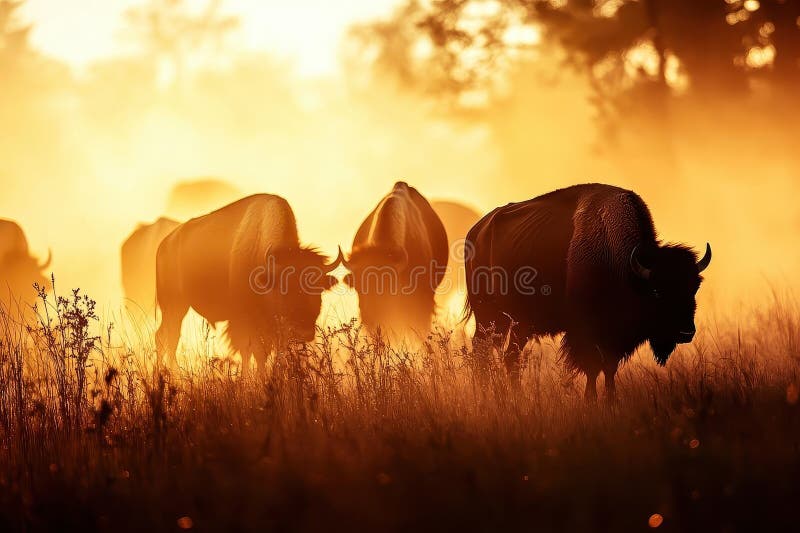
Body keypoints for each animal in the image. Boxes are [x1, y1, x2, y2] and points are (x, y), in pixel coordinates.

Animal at [155, 194, 338, 372]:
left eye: (319, 289)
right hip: (174, 307)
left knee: (164, 337)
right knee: (169, 339)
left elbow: (273, 352)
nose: (304, 332)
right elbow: (254, 352)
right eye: (285, 288)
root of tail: (164, 245)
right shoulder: (247, 320)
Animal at [464, 183, 711, 402]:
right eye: (657, 291)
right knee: (482, 352)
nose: (686, 332)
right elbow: (592, 367)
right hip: (488, 317)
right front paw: (590, 400)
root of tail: (476, 232)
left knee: (509, 357)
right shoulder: (585, 331)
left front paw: (611, 400)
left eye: (695, 287)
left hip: (519, 324)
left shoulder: (614, 338)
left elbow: (609, 367)